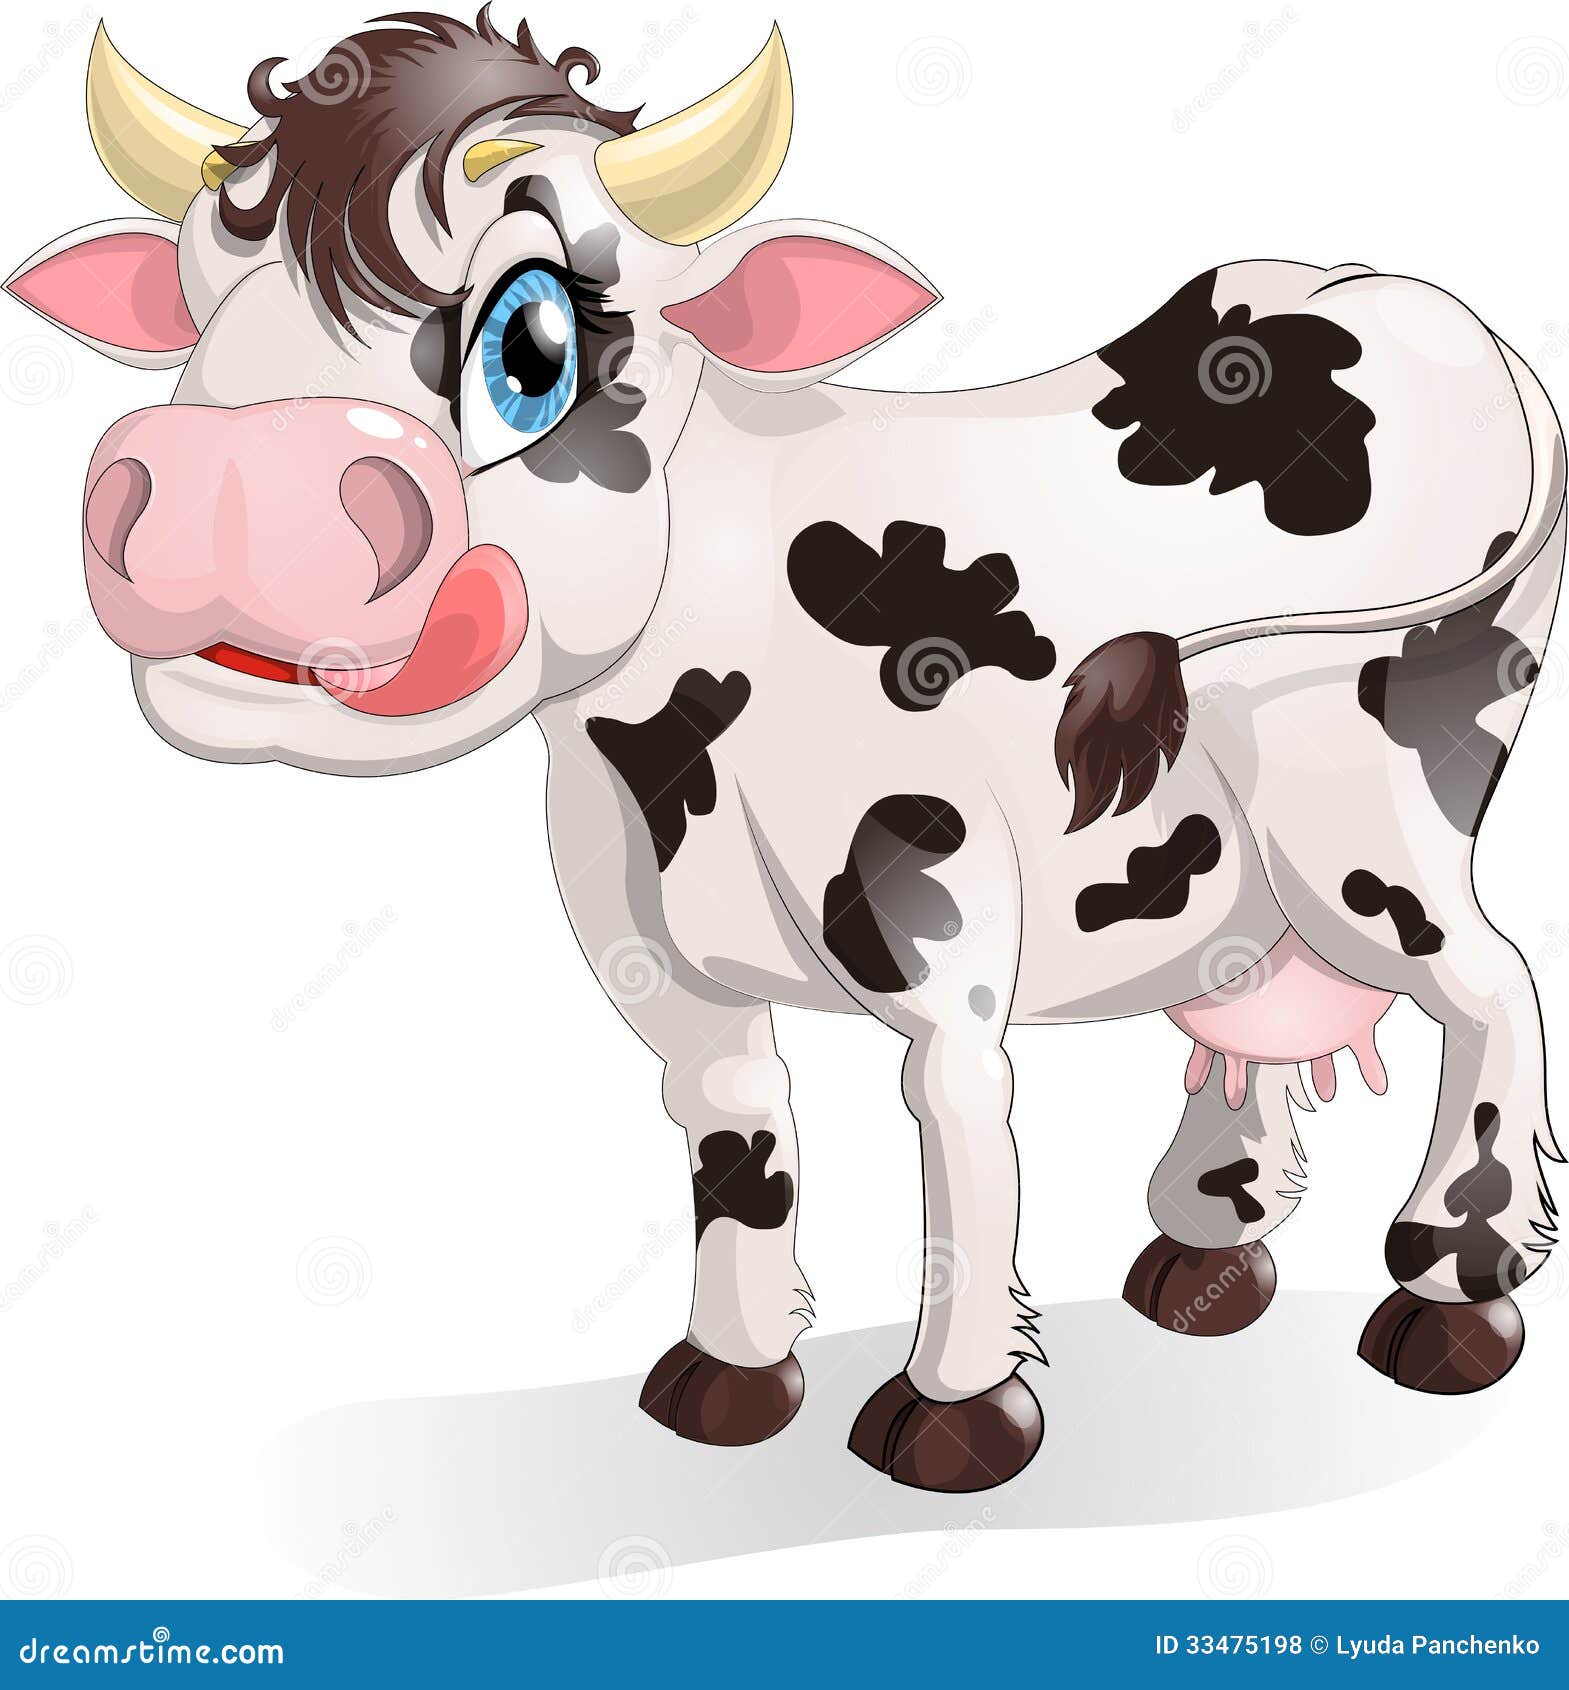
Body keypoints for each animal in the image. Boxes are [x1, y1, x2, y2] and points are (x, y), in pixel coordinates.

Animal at [8, 11, 1564, 1493]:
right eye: (194, 307)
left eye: (532, 341)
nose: (231, 489)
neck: (677, 736)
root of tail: (1401, 298)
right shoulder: (659, 974)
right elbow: (734, 1136)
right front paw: (732, 1373)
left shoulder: (945, 953)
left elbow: (957, 1134)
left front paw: (959, 1411)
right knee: (1248, 992)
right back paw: (1208, 1250)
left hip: (1364, 809)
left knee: (1490, 981)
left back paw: (1454, 1295)